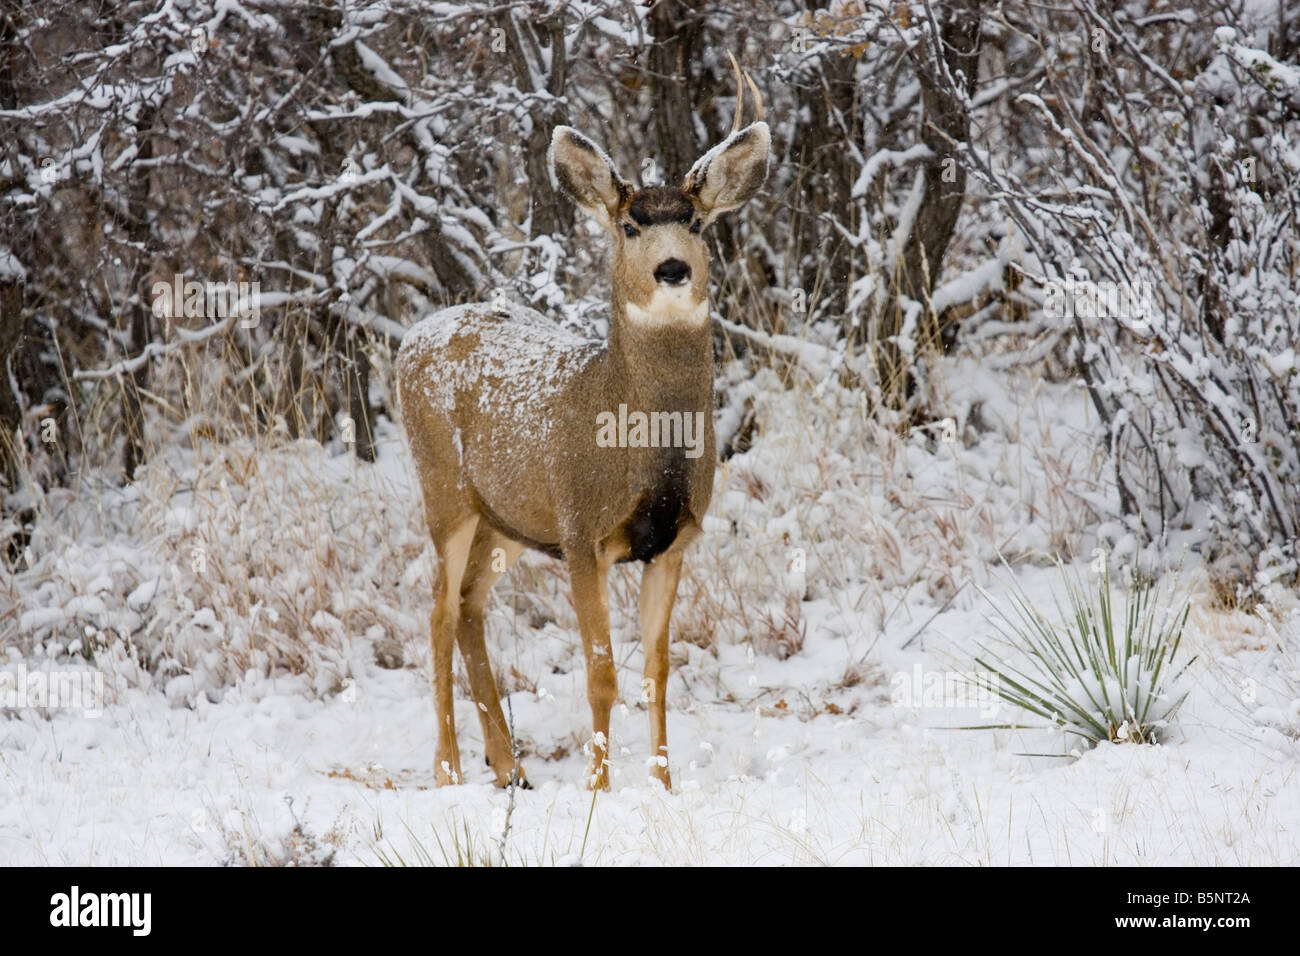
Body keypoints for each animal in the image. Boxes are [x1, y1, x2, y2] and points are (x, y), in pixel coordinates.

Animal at [395, 56, 769, 792]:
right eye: (629, 227)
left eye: (697, 223)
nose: (672, 268)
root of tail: (411, 338)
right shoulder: (580, 530)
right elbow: (601, 673)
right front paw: (599, 787)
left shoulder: (674, 541)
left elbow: (657, 671)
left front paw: (662, 786)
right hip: (444, 491)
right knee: (437, 612)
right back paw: (450, 770)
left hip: (503, 517)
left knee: (470, 607)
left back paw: (508, 765)